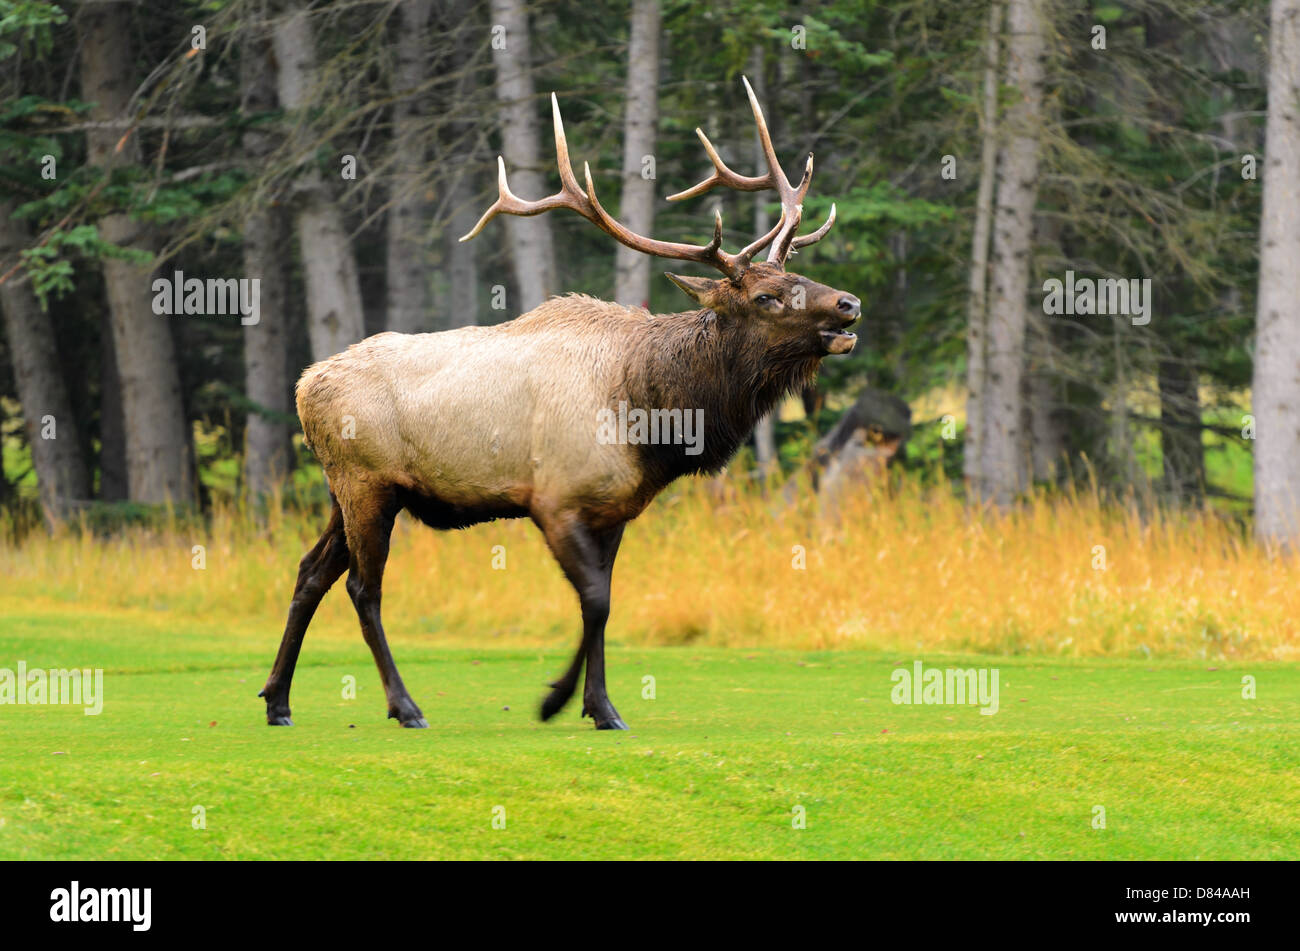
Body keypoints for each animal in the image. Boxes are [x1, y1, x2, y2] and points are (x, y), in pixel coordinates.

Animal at [259, 78, 860, 731]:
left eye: (801, 276)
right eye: (767, 296)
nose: (850, 303)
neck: (650, 414)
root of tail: (303, 387)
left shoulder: (614, 509)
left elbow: (604, 601)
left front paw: (602, 708)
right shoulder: (553, 499)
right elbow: (594, 600)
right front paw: (556, 701)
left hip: (345, 490)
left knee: (310, 572)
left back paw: (277, 700)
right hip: (368, 483)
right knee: (362, 589)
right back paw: (405, 706)